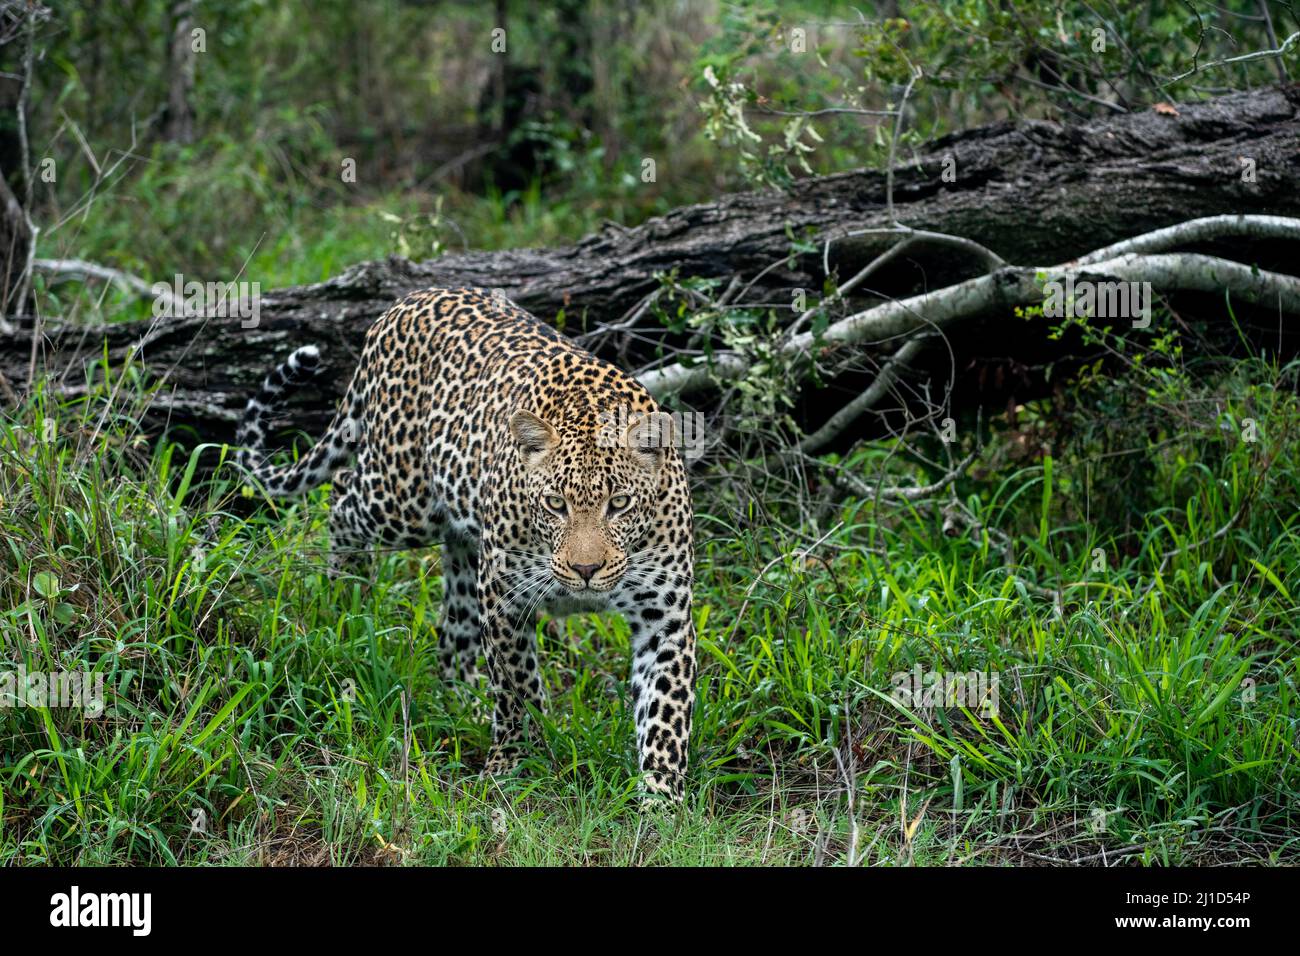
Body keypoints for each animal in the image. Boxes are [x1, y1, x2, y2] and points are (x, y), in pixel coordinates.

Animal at [236, 287, 696, 801]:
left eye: (619, 504)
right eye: (555, 504)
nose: (585, 571)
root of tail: (405, 301)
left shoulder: (665, 618)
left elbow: (666, 710)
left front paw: (660, 796)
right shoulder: (503, 595)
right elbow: (517, 687)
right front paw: (517, 762)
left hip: (457, 539)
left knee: (453, 628)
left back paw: (462, 699)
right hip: (401, 499)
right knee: (339, 496)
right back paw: (345, 596)